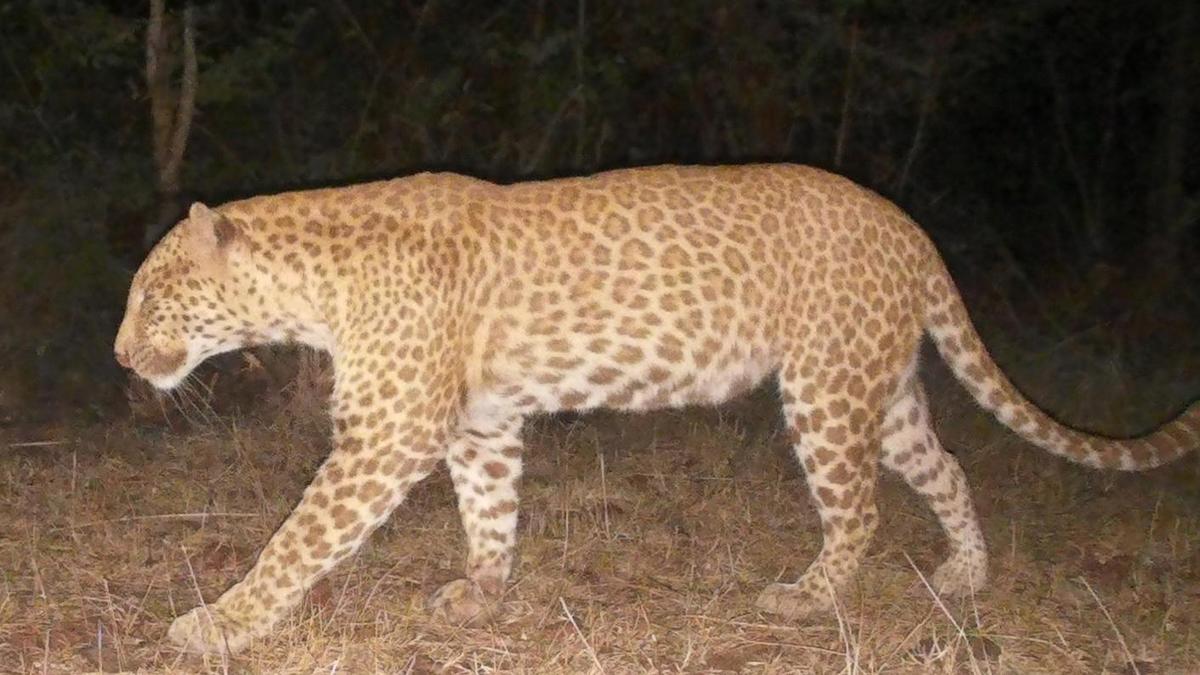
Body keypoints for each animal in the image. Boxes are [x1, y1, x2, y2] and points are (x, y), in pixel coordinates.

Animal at [114, 164, 1199, 655]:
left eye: (152, 298)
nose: (120, 355)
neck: (311, 285)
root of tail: (908, 224)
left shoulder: (388, 434)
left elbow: (297, 538)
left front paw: (217, 622)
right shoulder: (479, 421)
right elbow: (490, 511)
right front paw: (483, 594)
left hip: (824, 389)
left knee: (858, 509)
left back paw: (807, 598)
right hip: (880, 389)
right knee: (949, 468)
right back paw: (966, 574)